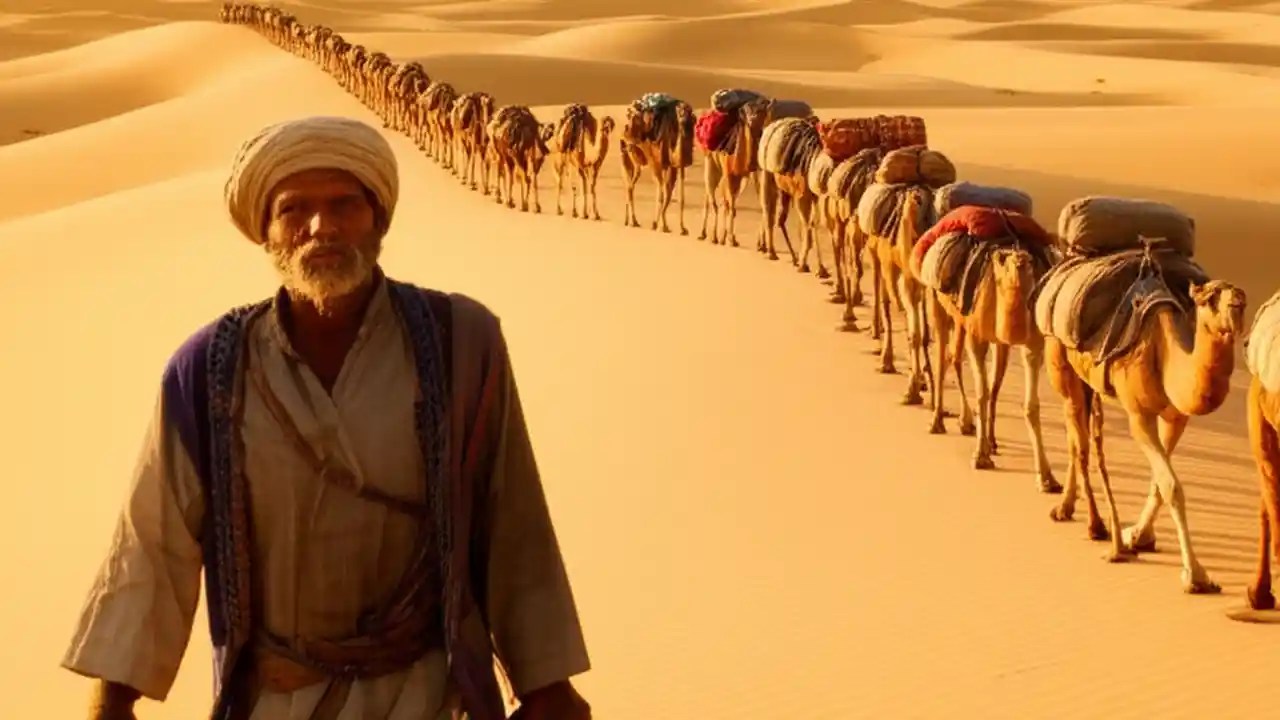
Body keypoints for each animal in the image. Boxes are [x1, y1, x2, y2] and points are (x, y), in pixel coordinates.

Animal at [618, 95, 694, 234]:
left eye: (692, 120)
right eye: (680, 114)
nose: (683, 122)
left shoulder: (675, 165)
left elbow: (677, 196)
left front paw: (681, 228)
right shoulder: (656, 162)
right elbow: (662, 193)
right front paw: (660, 226)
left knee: (630, 185)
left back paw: (630, 221)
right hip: (631, 154)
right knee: (630, 185)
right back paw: (633, 221)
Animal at [1044, 276, 1245, 593]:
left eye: (1238, 295)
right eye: (1209, 298)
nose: (1237, 301)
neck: (1165, 353)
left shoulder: (1175, 417)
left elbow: (1161, 483)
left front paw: (1139, 536)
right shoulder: (1139, 416)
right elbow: (1171, 485)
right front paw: (1195, 575)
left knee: (1076, 434)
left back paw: (1069, 509)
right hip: (1059, 359)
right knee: (1079, 440)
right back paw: (1092, 524)